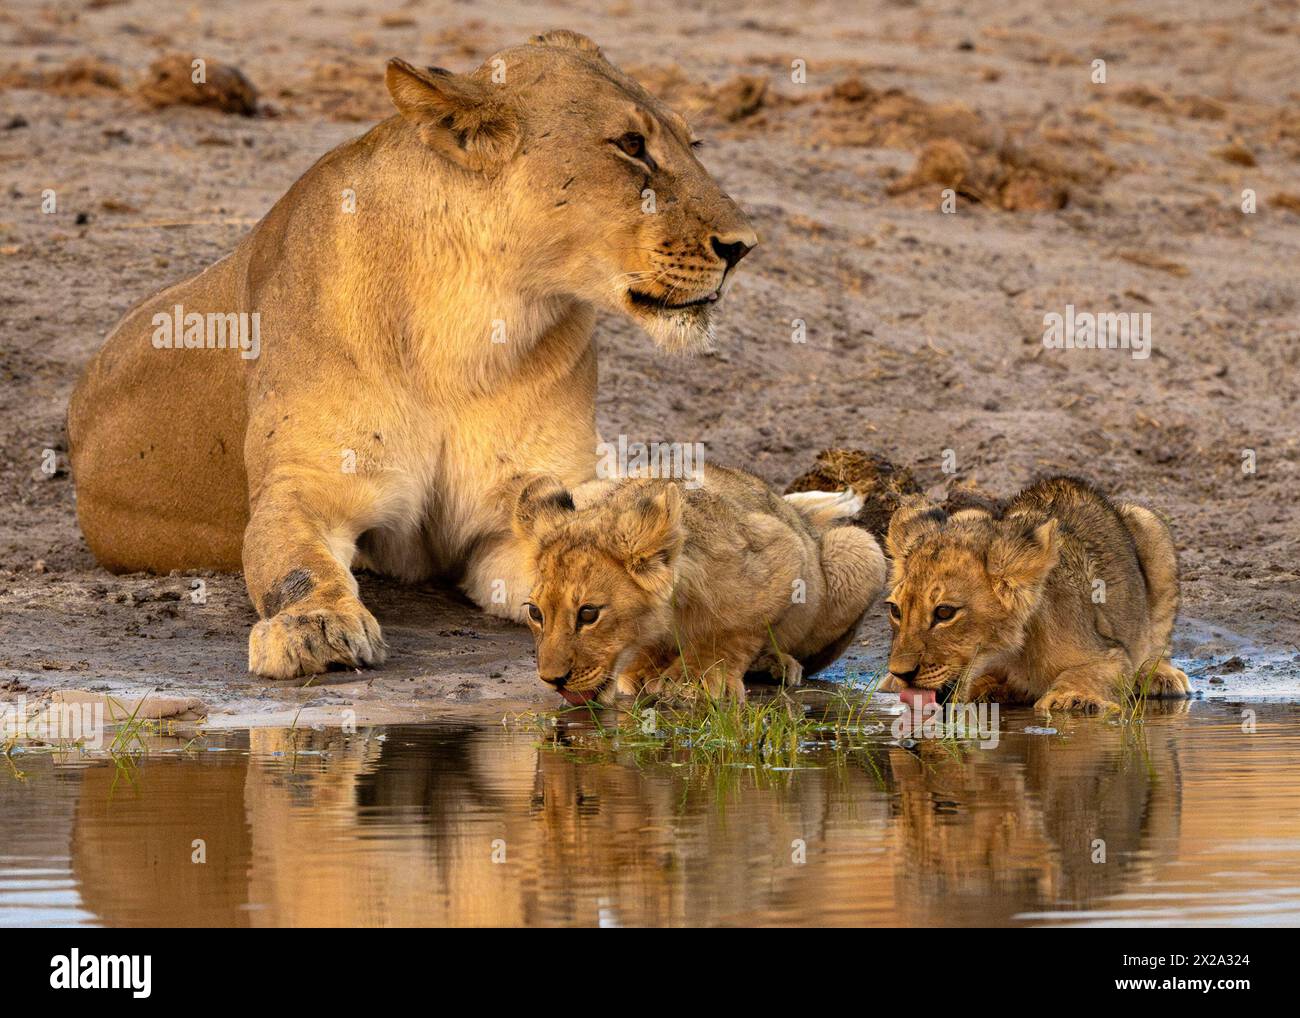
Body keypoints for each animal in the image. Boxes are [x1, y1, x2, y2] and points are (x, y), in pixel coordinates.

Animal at [66, 31, 757, 679]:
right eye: (630, 145)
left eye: (692, 142)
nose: (744, 245)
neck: (474, 321)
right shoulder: (305, 485)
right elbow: (292, 562)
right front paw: (314, 628)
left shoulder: (518, 515)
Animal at [511, 465, 886, 704]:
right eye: (535, 613)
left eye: (589, 614)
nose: (552, 680)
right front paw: (645, 670)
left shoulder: (782, 549)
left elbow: (732, 629)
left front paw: (692, 679)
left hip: (860, 548)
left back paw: (774, 664)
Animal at [881, 475, 1191, 714]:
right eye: (895, 610)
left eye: (945, 612)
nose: (901, 673)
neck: (1005, 653)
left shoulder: (1109, 653)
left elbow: (1085, 673)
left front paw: (1071, 699)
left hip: (1151, 529)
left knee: (1158, 640)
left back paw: (1161, 677)